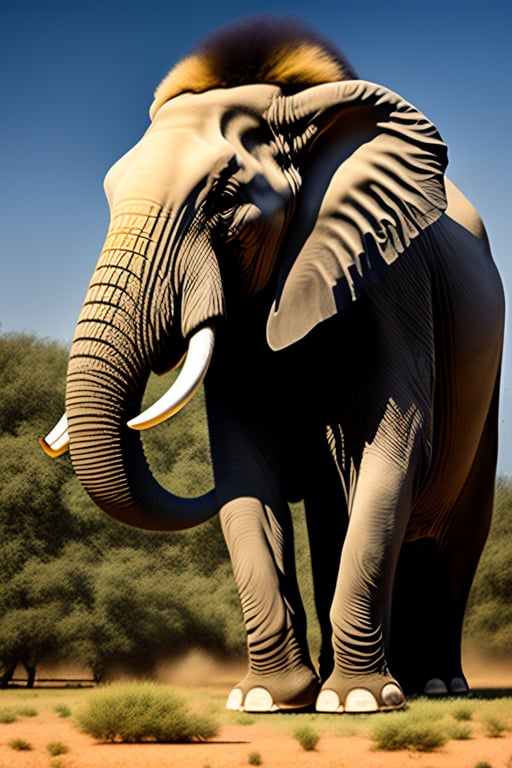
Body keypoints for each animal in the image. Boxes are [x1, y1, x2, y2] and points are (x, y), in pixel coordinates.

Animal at [41, 17, 504, 713]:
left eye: (224, 198)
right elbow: (243, 464)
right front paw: (267, 698)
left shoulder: (391, 281)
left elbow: (394, 451)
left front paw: (359, 702)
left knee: (453, 534)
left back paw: (433, 685)